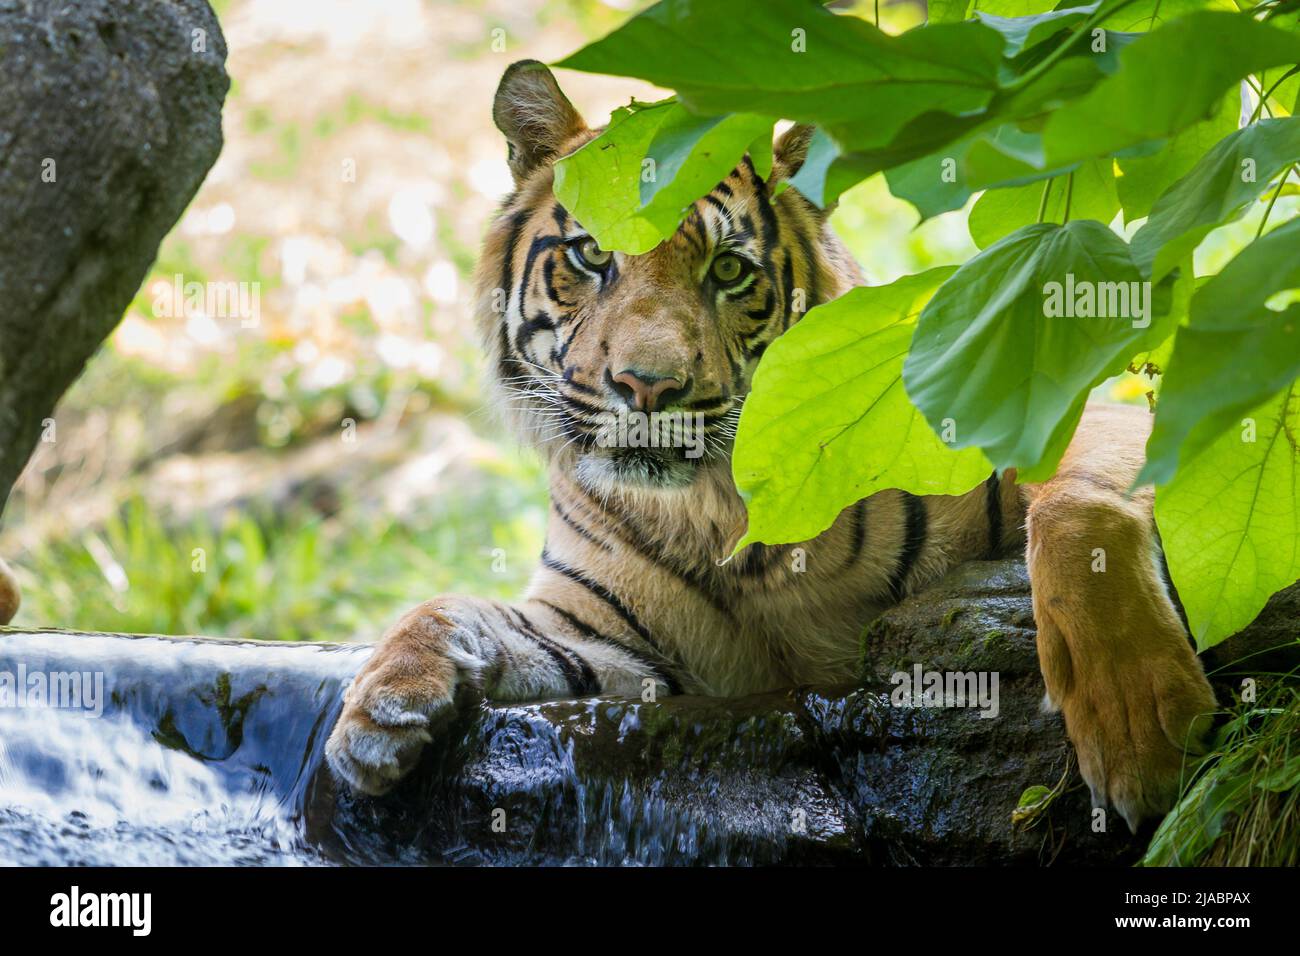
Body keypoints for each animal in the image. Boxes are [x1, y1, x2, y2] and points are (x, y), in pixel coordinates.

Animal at [325, 59, 1217, 833]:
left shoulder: (1069, 432)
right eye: (592, 254)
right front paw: (379, 707)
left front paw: (1142, 731)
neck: (721, 514)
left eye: (727, 270)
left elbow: (1076, 513)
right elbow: (455, 608)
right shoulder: (608, 638)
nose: (647, 386)